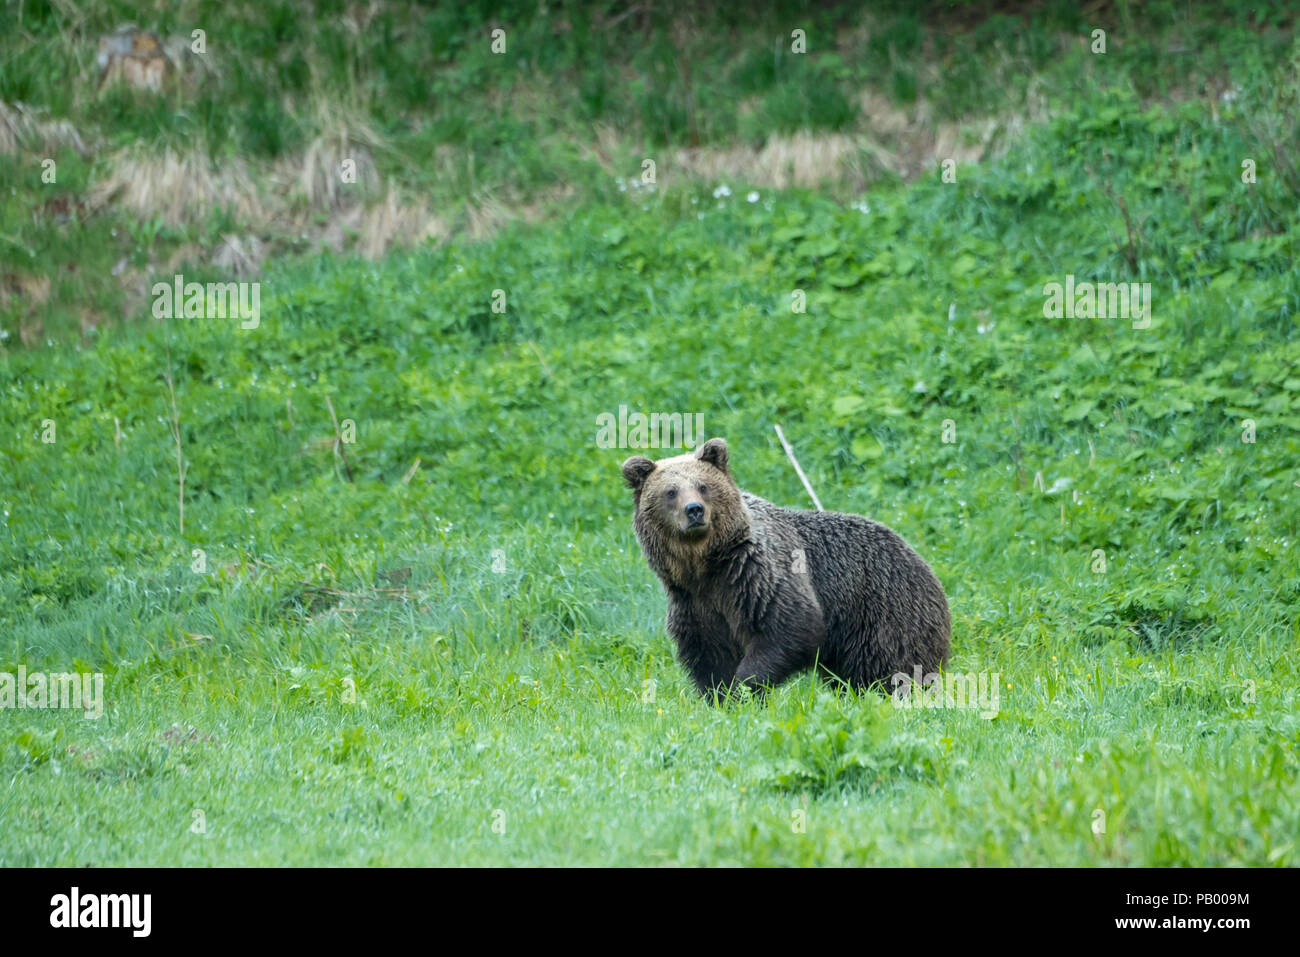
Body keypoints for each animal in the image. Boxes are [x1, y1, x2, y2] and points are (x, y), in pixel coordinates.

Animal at [621, 437, 950, 698]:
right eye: (671, 491)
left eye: (703, 486)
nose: (694, 511)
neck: (705, 564)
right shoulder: (695, 602)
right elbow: (709, 655)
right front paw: (720, 696)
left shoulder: (755, 574)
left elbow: (790, 627)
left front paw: (744, 688)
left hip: (884, 614)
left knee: (889, 667)